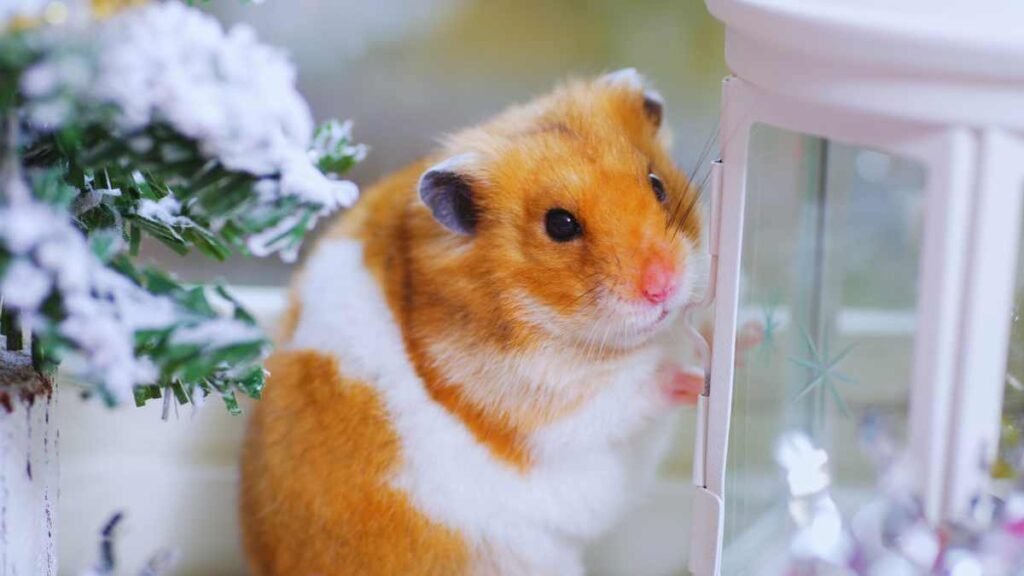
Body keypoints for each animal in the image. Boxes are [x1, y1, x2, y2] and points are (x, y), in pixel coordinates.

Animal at [240, 69, 707, 576]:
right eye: (560, 224)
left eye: (657, 184)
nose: (663, 285)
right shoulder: (540, 403)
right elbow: (635, 389)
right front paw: (696, 381)